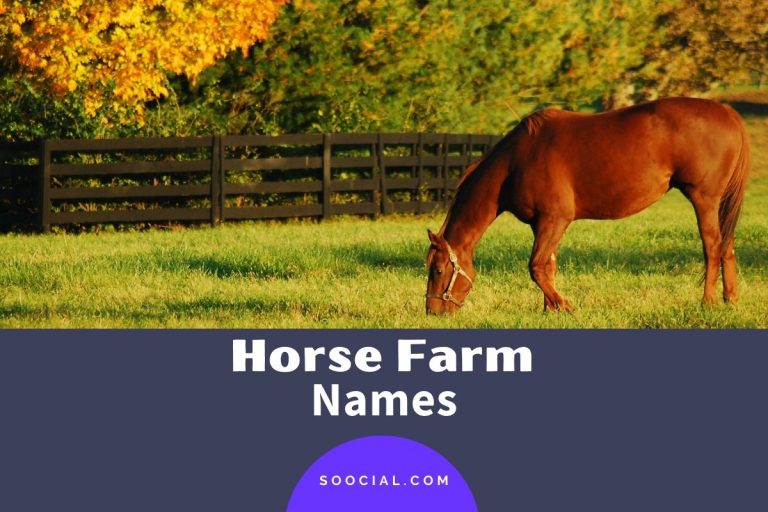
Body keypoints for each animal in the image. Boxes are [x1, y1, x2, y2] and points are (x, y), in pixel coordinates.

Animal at [425, 97, 750, 315]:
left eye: (438, 270)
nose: (433, 311)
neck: (517, 160)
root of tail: (727, 112)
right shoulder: (542, 224)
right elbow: (548, 266)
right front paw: (550, 310)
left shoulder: (555, 219)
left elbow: (536, 267)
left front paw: (564, 305)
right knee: (727, 245)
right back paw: (730, 299)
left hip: (704, 199)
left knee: (712, 246)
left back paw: (707, 301)